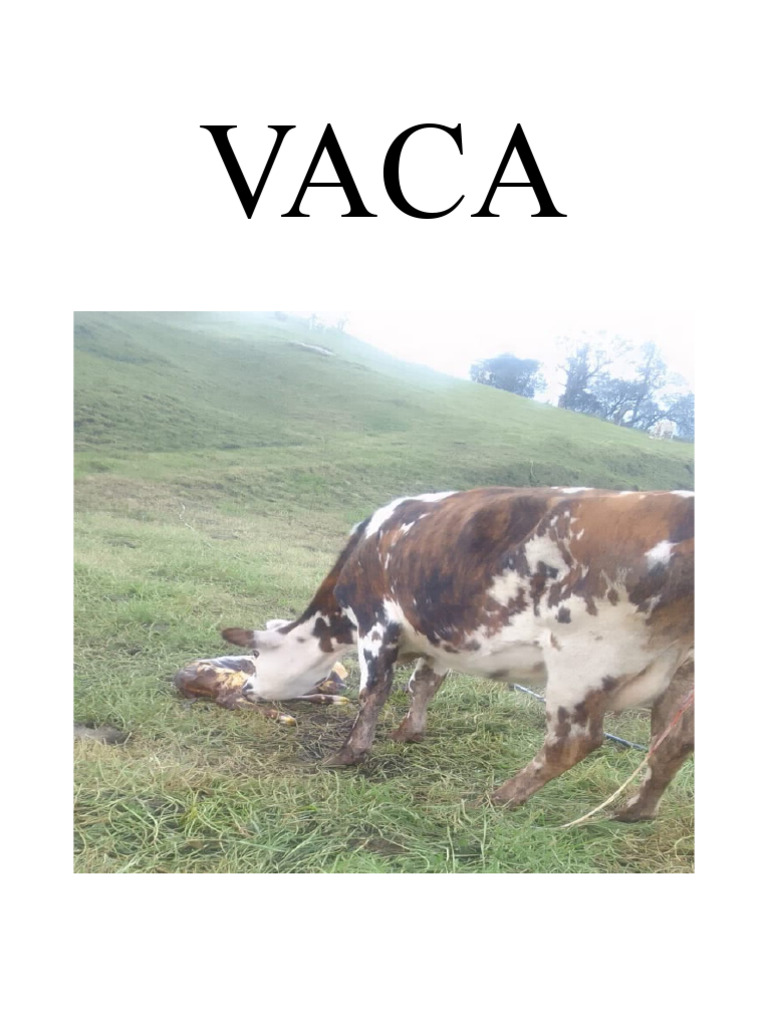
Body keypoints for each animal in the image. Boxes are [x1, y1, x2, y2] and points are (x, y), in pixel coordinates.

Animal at [223, 487, 694, 820]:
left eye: (257, 658)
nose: (246, 690)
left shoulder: (376, 623)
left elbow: (373, 692)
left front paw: (347, 755)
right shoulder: (436, 641)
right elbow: (423, 683)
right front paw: (409, 731)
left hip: (581, 661)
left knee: (573, 741)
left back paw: (499, 799)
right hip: (682, 675)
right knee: (673, 743)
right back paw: (635, 811)